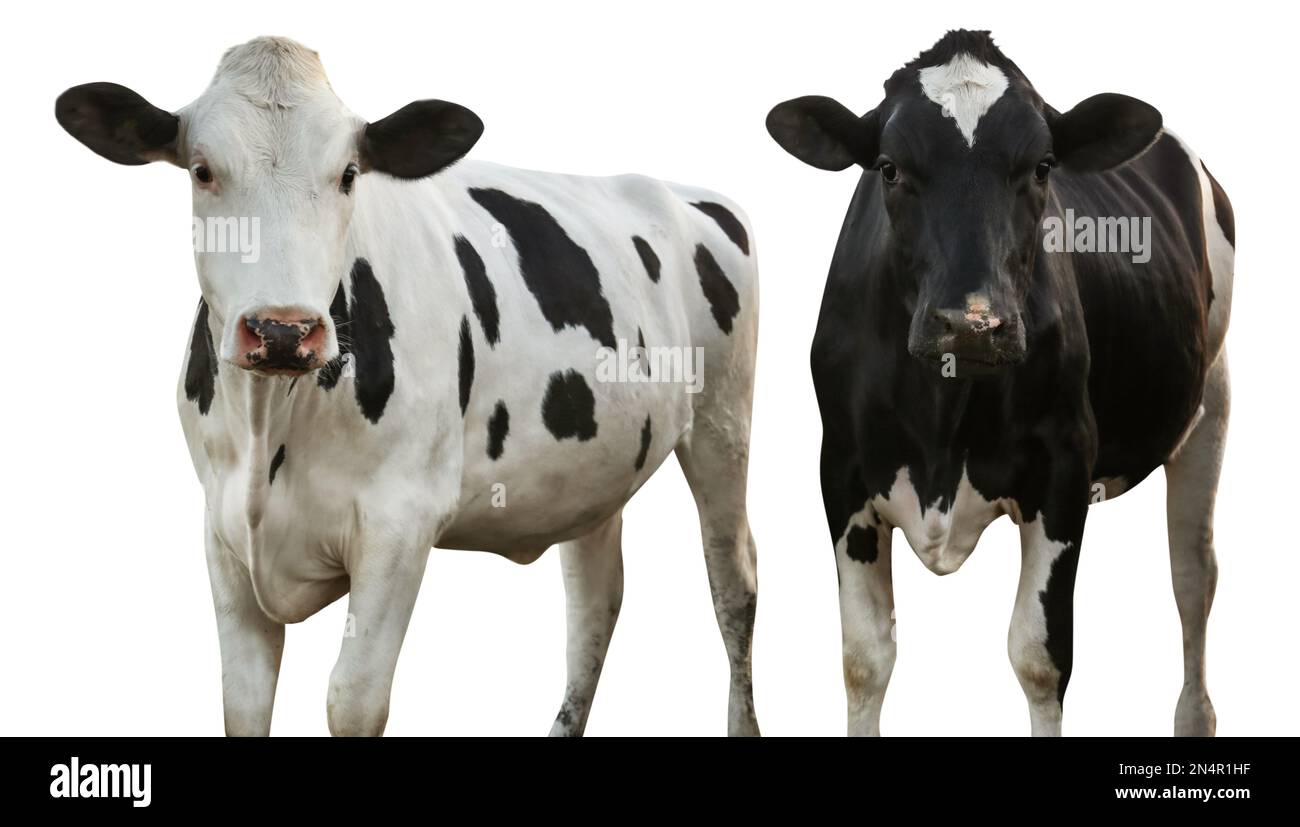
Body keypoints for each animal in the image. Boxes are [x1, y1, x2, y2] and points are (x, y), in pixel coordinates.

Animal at [56, 36, 761, 736]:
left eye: (348, 174)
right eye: (202, 170)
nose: (283, 331)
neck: (268, 428)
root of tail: (680, 190)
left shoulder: (402, 520)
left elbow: (353, 700)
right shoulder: (221, 528)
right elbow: (243, 703)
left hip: (723, 424)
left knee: (733, 583)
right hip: (594, 469)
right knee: (594, 604)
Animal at [767, 30, 1233, 736]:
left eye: (1042, 167)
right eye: (888, 168)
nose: (972, 324)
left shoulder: (1064, 467)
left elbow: (1039, 658)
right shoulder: (840, 471)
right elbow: (865, 659)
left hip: (1212, 396)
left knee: (1192, 572)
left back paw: (1194, 716)